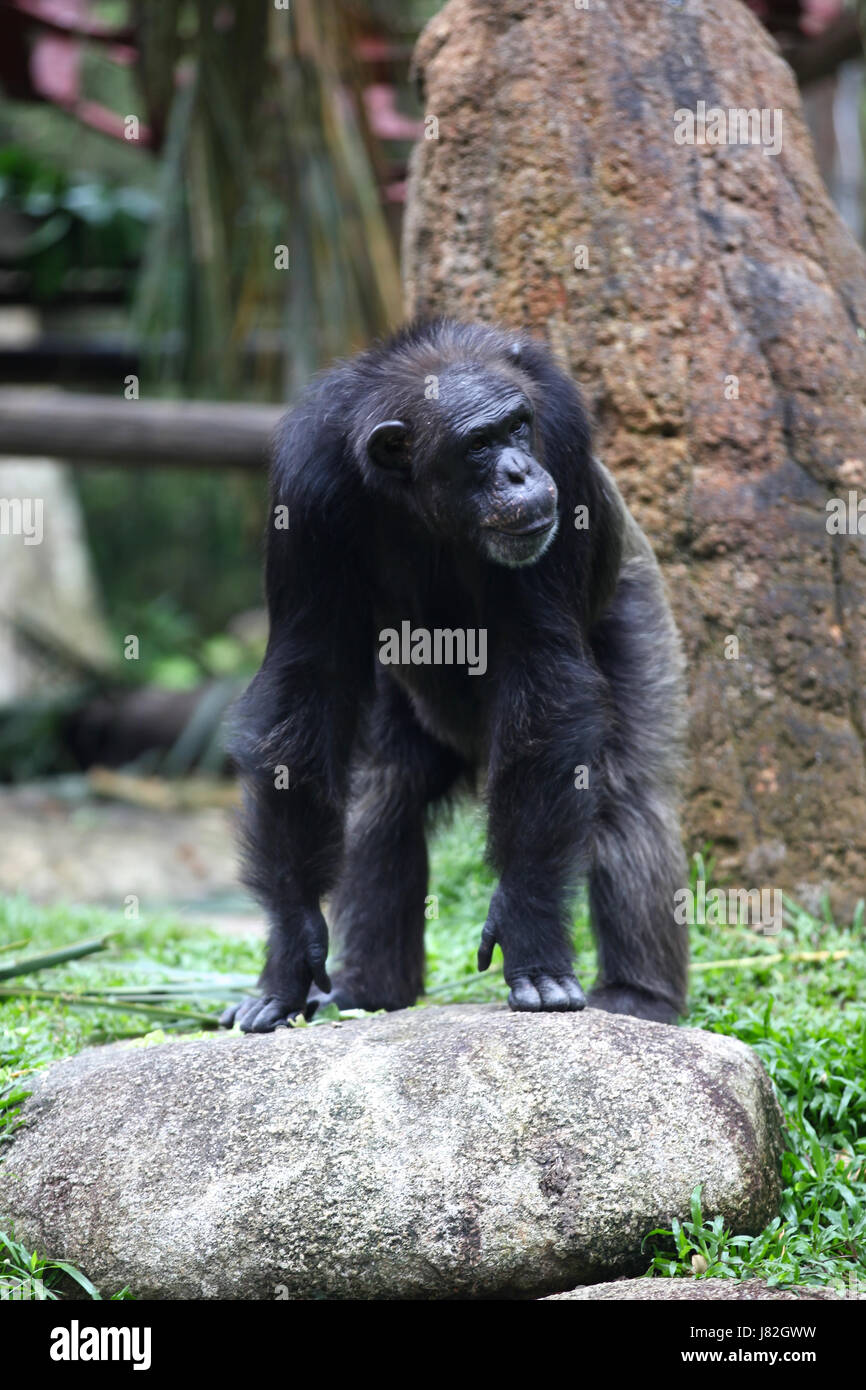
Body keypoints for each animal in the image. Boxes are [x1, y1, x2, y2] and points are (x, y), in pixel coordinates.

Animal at [220, 318, 688, 1032]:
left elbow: (543, 672)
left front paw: (529, 933)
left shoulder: (563, 435)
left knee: (626, 793)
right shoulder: (303, 489)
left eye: (519, 427)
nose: (521, 471)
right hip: (404, 697)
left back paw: (640, 997)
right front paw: (291, 947)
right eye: (479, 444)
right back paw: (367, 988)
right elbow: (310, 678)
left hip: (637, 605)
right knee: (383, 794)